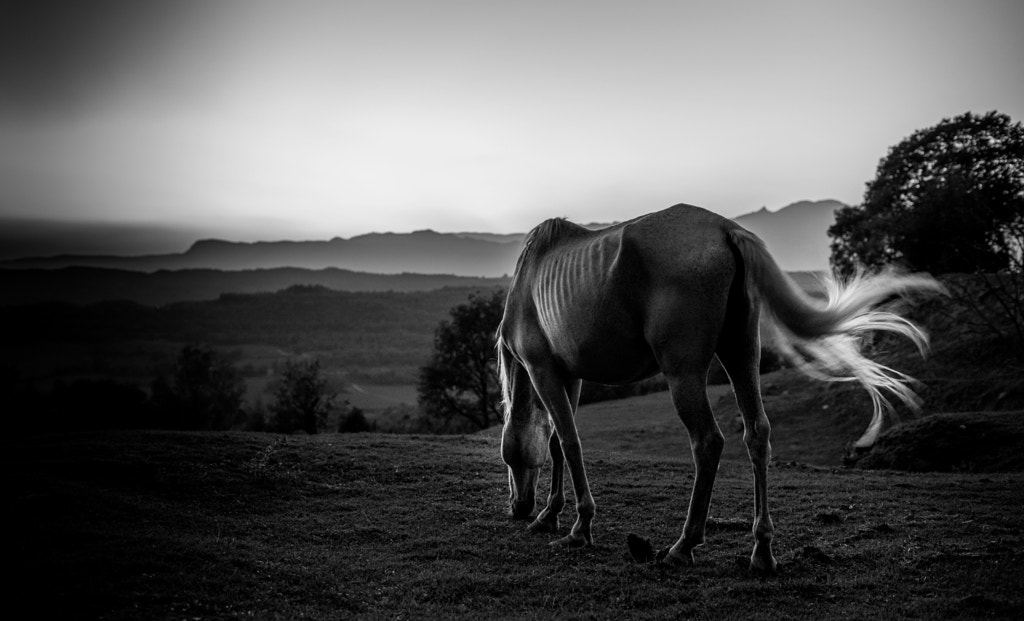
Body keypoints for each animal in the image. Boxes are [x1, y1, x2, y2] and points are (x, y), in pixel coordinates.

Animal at [496, 203, 944, 573]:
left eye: (506, 457)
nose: (517, 507)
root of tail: (726, 230)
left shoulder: (543, 370)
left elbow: (568, 443)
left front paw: (577, 526)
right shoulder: (569, 375)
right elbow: (556, 442)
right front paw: (552, 514)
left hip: (684, 373)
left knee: (708, 441)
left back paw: (684, 545)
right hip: (741, 354)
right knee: (757, 434)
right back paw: (761, 551)